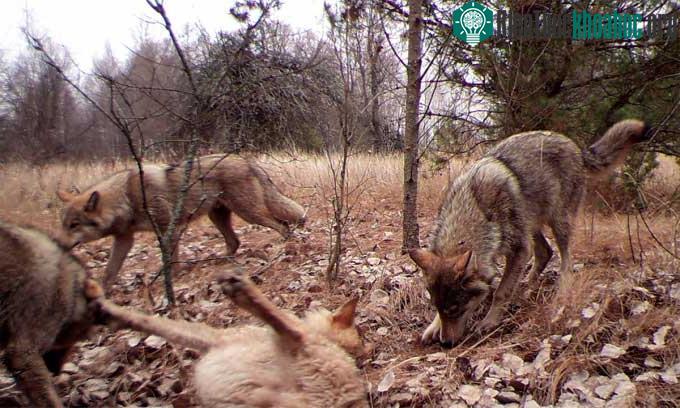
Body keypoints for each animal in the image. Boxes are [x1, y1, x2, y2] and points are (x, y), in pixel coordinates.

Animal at [57, 153, 306, 290]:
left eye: (74, 225)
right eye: (64, 224)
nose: (57, 244)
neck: (127, 196)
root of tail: (245, 160)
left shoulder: (170, 228)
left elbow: (170, 258)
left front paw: (173, 278)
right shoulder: (124, 239)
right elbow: (109, 271)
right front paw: (101, 294)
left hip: (248, 213)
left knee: (282, 226)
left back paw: (284, 248)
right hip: (218, 216)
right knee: (235, 242)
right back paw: (218, 262)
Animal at [93, 270, 370, 406]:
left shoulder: (216, 336)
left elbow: (163, 324)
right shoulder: (213, 337)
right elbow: (157, 323)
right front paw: (110, 312)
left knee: (292, 331)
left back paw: (242, 290)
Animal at [412, 119, 652, 346]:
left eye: (455, 309)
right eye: (438, 307)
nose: (446, 343)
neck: (474, 207)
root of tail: (575, 146)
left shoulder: (519, 249)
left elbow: (500, 292)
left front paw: (489, 322)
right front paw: (433, 327)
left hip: (558, 222)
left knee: (566, 259)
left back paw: (561, 289)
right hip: (531, 225)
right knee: (545, 252)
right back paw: (526, 287)